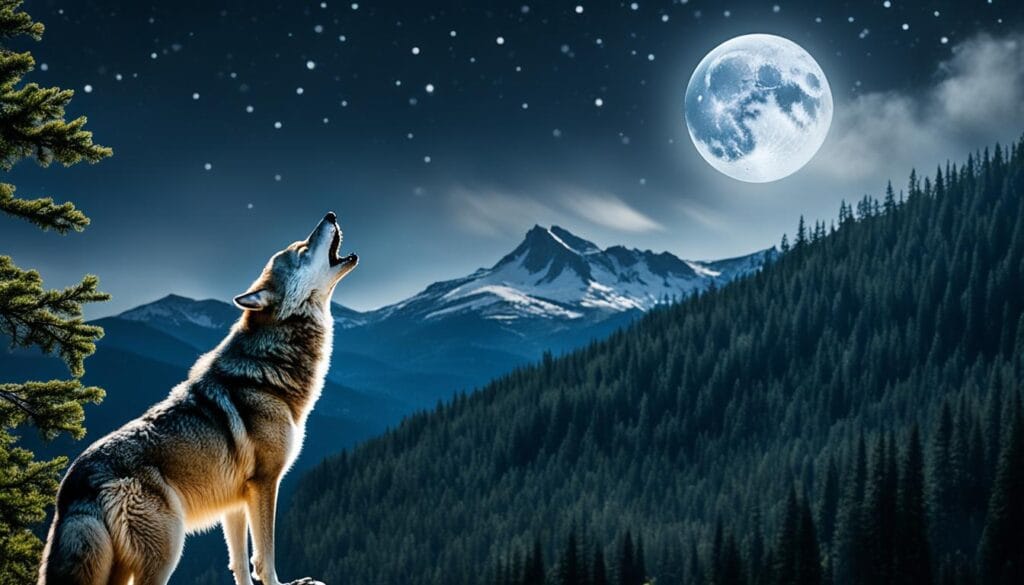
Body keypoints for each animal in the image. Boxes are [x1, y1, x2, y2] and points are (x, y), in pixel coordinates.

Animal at [37, 212, 357, 585]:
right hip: (167, 551)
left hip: (121, 565)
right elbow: (265, 557)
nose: (330, 215)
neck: (271, 367)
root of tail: (73, 485)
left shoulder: (235, 502)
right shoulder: (265, 483)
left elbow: (239, 562)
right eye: (302, 249)